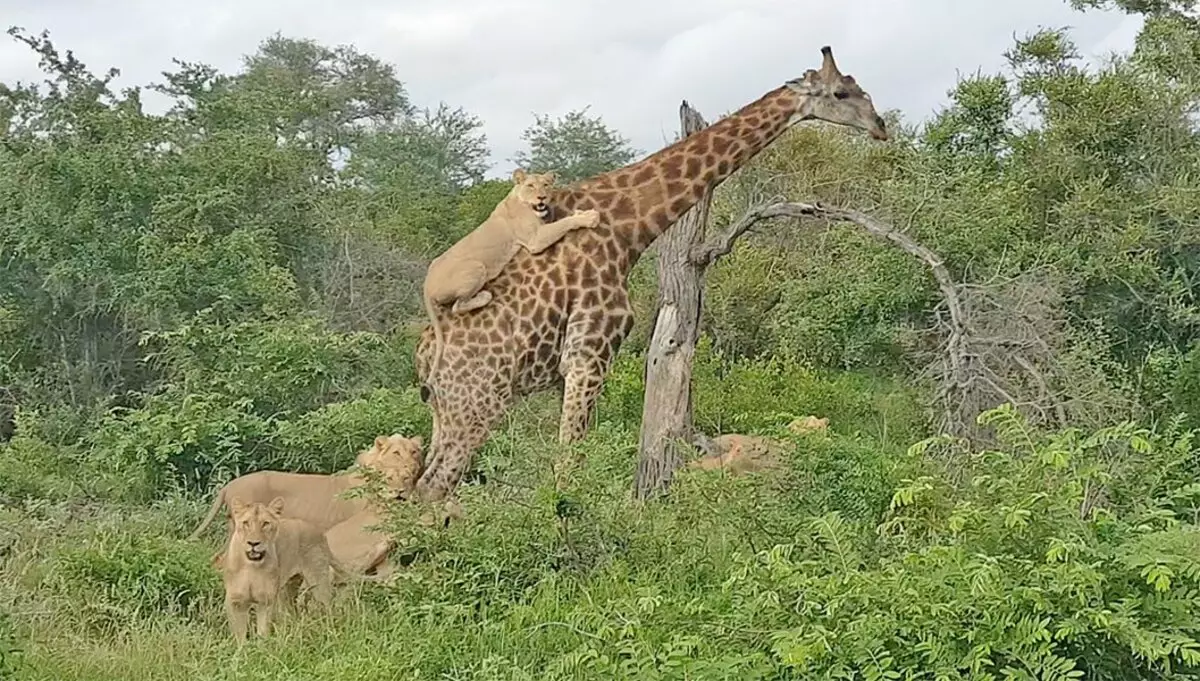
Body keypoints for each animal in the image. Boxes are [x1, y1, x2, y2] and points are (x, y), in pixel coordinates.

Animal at [218, 493, 362, 642]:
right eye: (246, 523)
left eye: (265, 524)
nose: (253, 543)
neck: (251, 566)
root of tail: (320, 533)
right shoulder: (235, 602)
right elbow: (239, 634)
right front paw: (242, 648)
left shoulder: (266, 601)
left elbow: (263, 631)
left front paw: (261, 646)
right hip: (289, 587)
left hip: (318, 582)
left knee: (327, 606)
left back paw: (330, 633)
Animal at [424, 167, 604, 390]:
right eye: (531, 186)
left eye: (546, 185)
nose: (542, 197)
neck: (523, 202)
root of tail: (425, 285)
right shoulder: (535, 240)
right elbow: (563, 222)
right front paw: (589, 217)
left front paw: (581, 213)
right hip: (477, 267)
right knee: (458, 306)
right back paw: (484, 296)